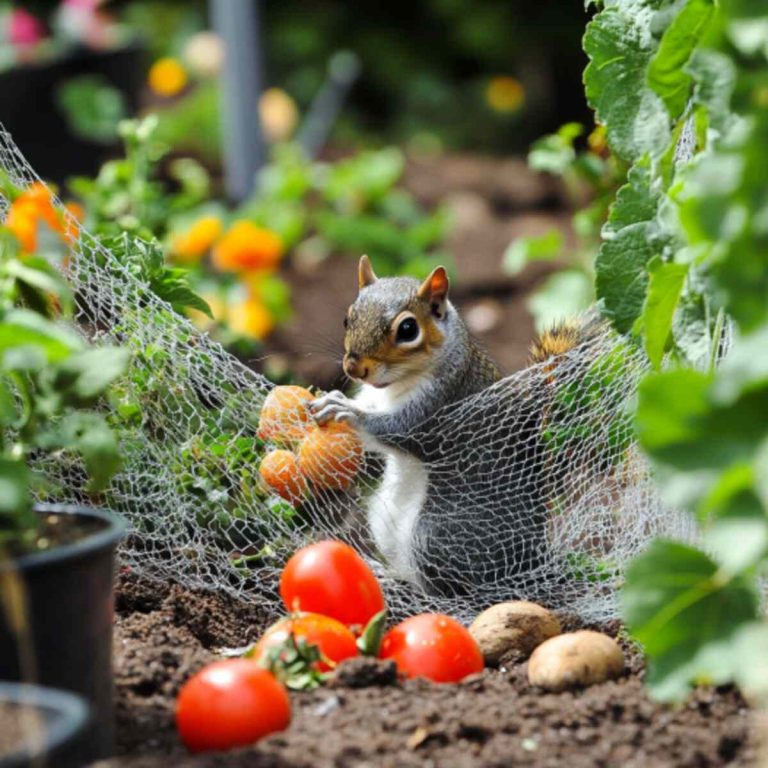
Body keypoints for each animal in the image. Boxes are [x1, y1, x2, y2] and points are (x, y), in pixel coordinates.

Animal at [310, 255, 600, 598]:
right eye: (347, 318)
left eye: (408, 329)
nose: (354, 367)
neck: (395, 385)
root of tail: (532, 558)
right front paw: (335, 397)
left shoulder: (437, 410)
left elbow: (393, 429)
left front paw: (346, 412)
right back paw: (388, 574)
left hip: (436, 537)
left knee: (447, 591)